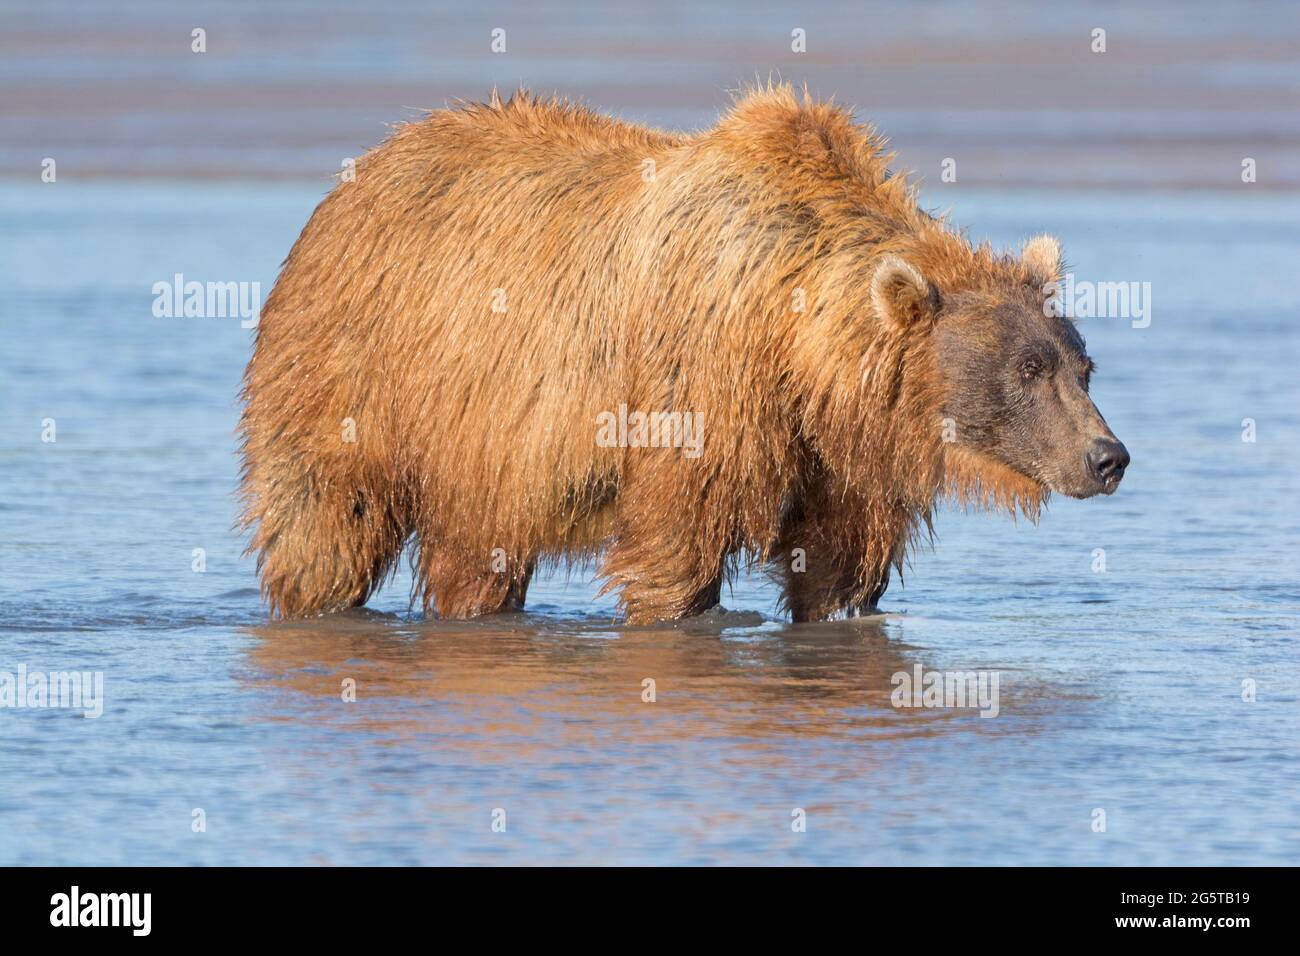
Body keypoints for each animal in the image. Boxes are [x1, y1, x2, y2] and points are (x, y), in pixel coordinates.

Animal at [238, 85, 1129, 624]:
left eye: (1081, 367)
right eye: (1028, 370)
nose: (1107, 456)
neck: (793, 341)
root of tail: (355, 176)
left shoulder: (844, 448)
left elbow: (840, 565)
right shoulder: (697, 384)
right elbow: (677, 544)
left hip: (476, 451)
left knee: (474, 561)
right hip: (352, 373)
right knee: (326, 526)